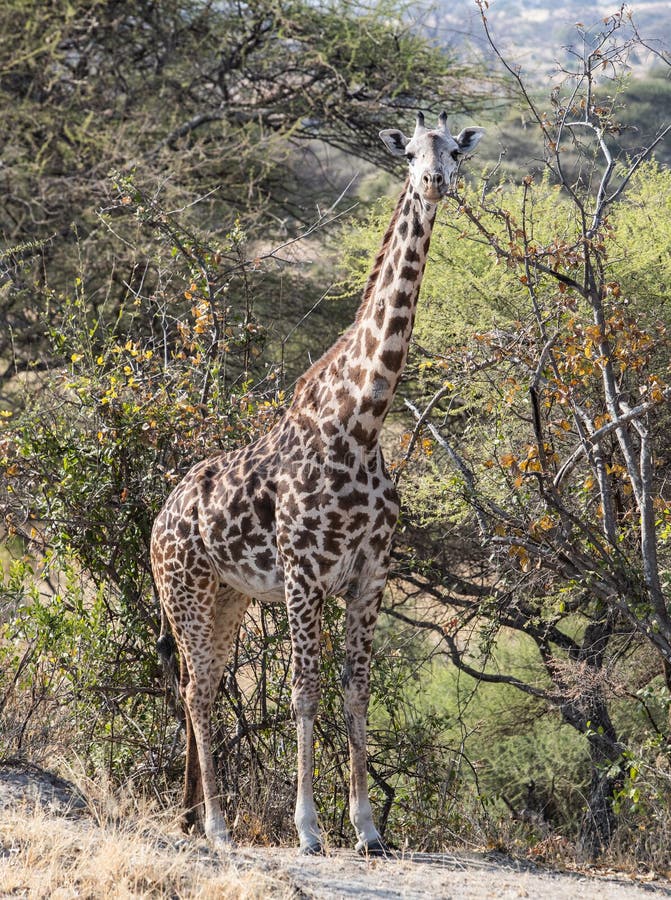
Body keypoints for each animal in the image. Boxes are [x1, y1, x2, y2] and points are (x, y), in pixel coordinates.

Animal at [150, 111, 484, 855]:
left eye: (454, 150)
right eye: (409, 152)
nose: (434, 180)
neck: (361, 419)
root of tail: (157, 521)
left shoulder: (370, 574)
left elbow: (355, 689)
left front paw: (367, 828)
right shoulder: (304, 573)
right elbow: (304, 690)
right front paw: (308, 829)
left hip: (228, 599)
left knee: (198, 683)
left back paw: (190, 815)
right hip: (185, 592)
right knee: (197, 692)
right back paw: (216, 824)